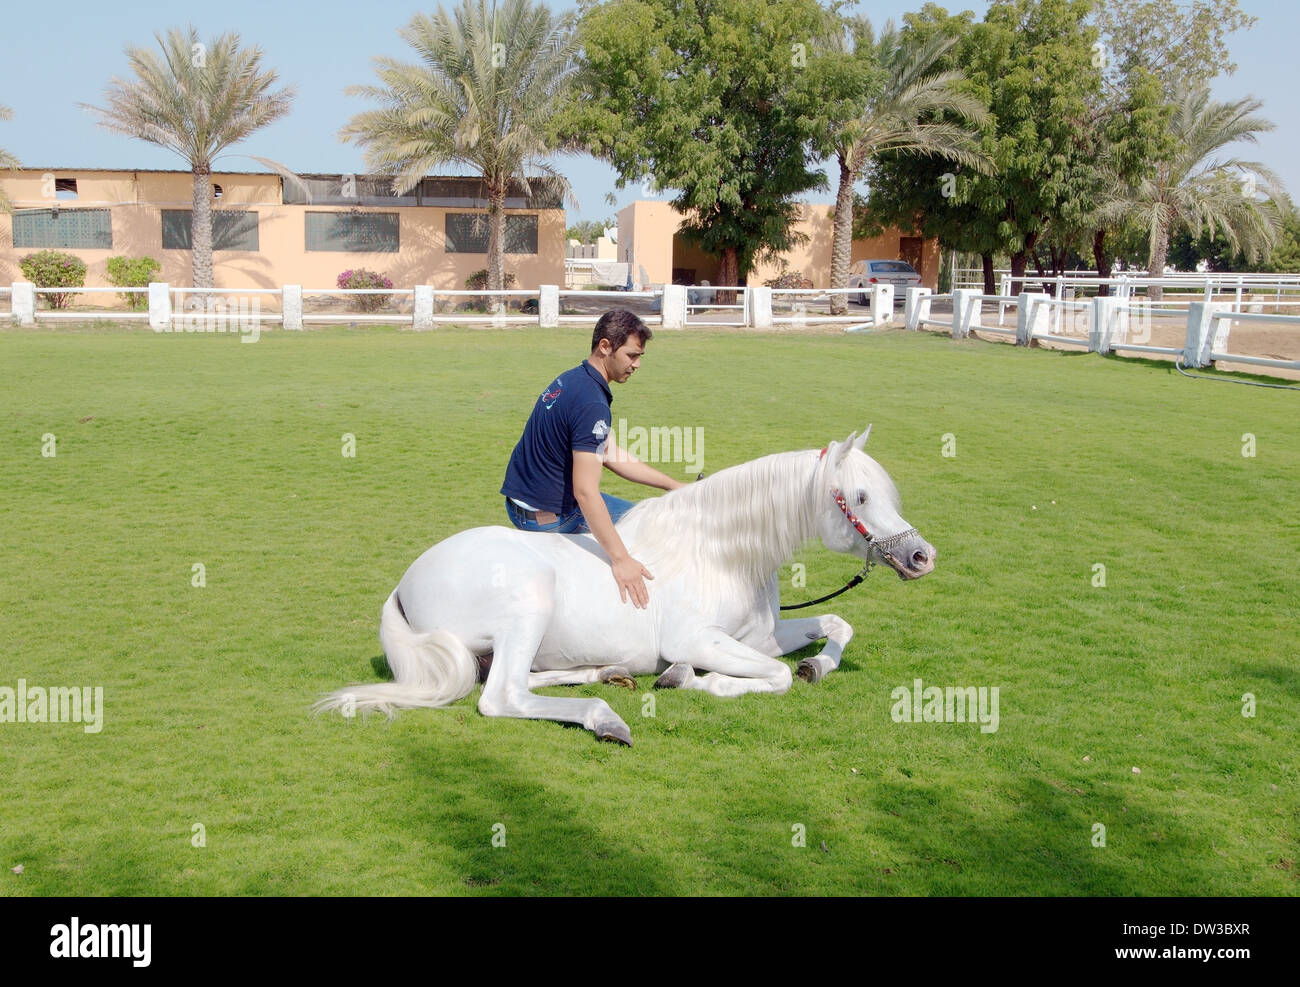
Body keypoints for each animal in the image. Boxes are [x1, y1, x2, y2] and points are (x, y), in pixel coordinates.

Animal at [315, 428, 935, 745]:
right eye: (859, 497)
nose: (921, 556)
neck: (720, 553)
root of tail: (405, 583)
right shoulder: (700, 641)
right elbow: (773, 676)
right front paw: (696, 681)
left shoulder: (762, 637)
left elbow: (834, 625)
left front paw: (816, 665)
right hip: (529, 600)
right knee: (501, 696)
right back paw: (605, 716)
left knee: (520, 677)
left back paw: (608, 673)